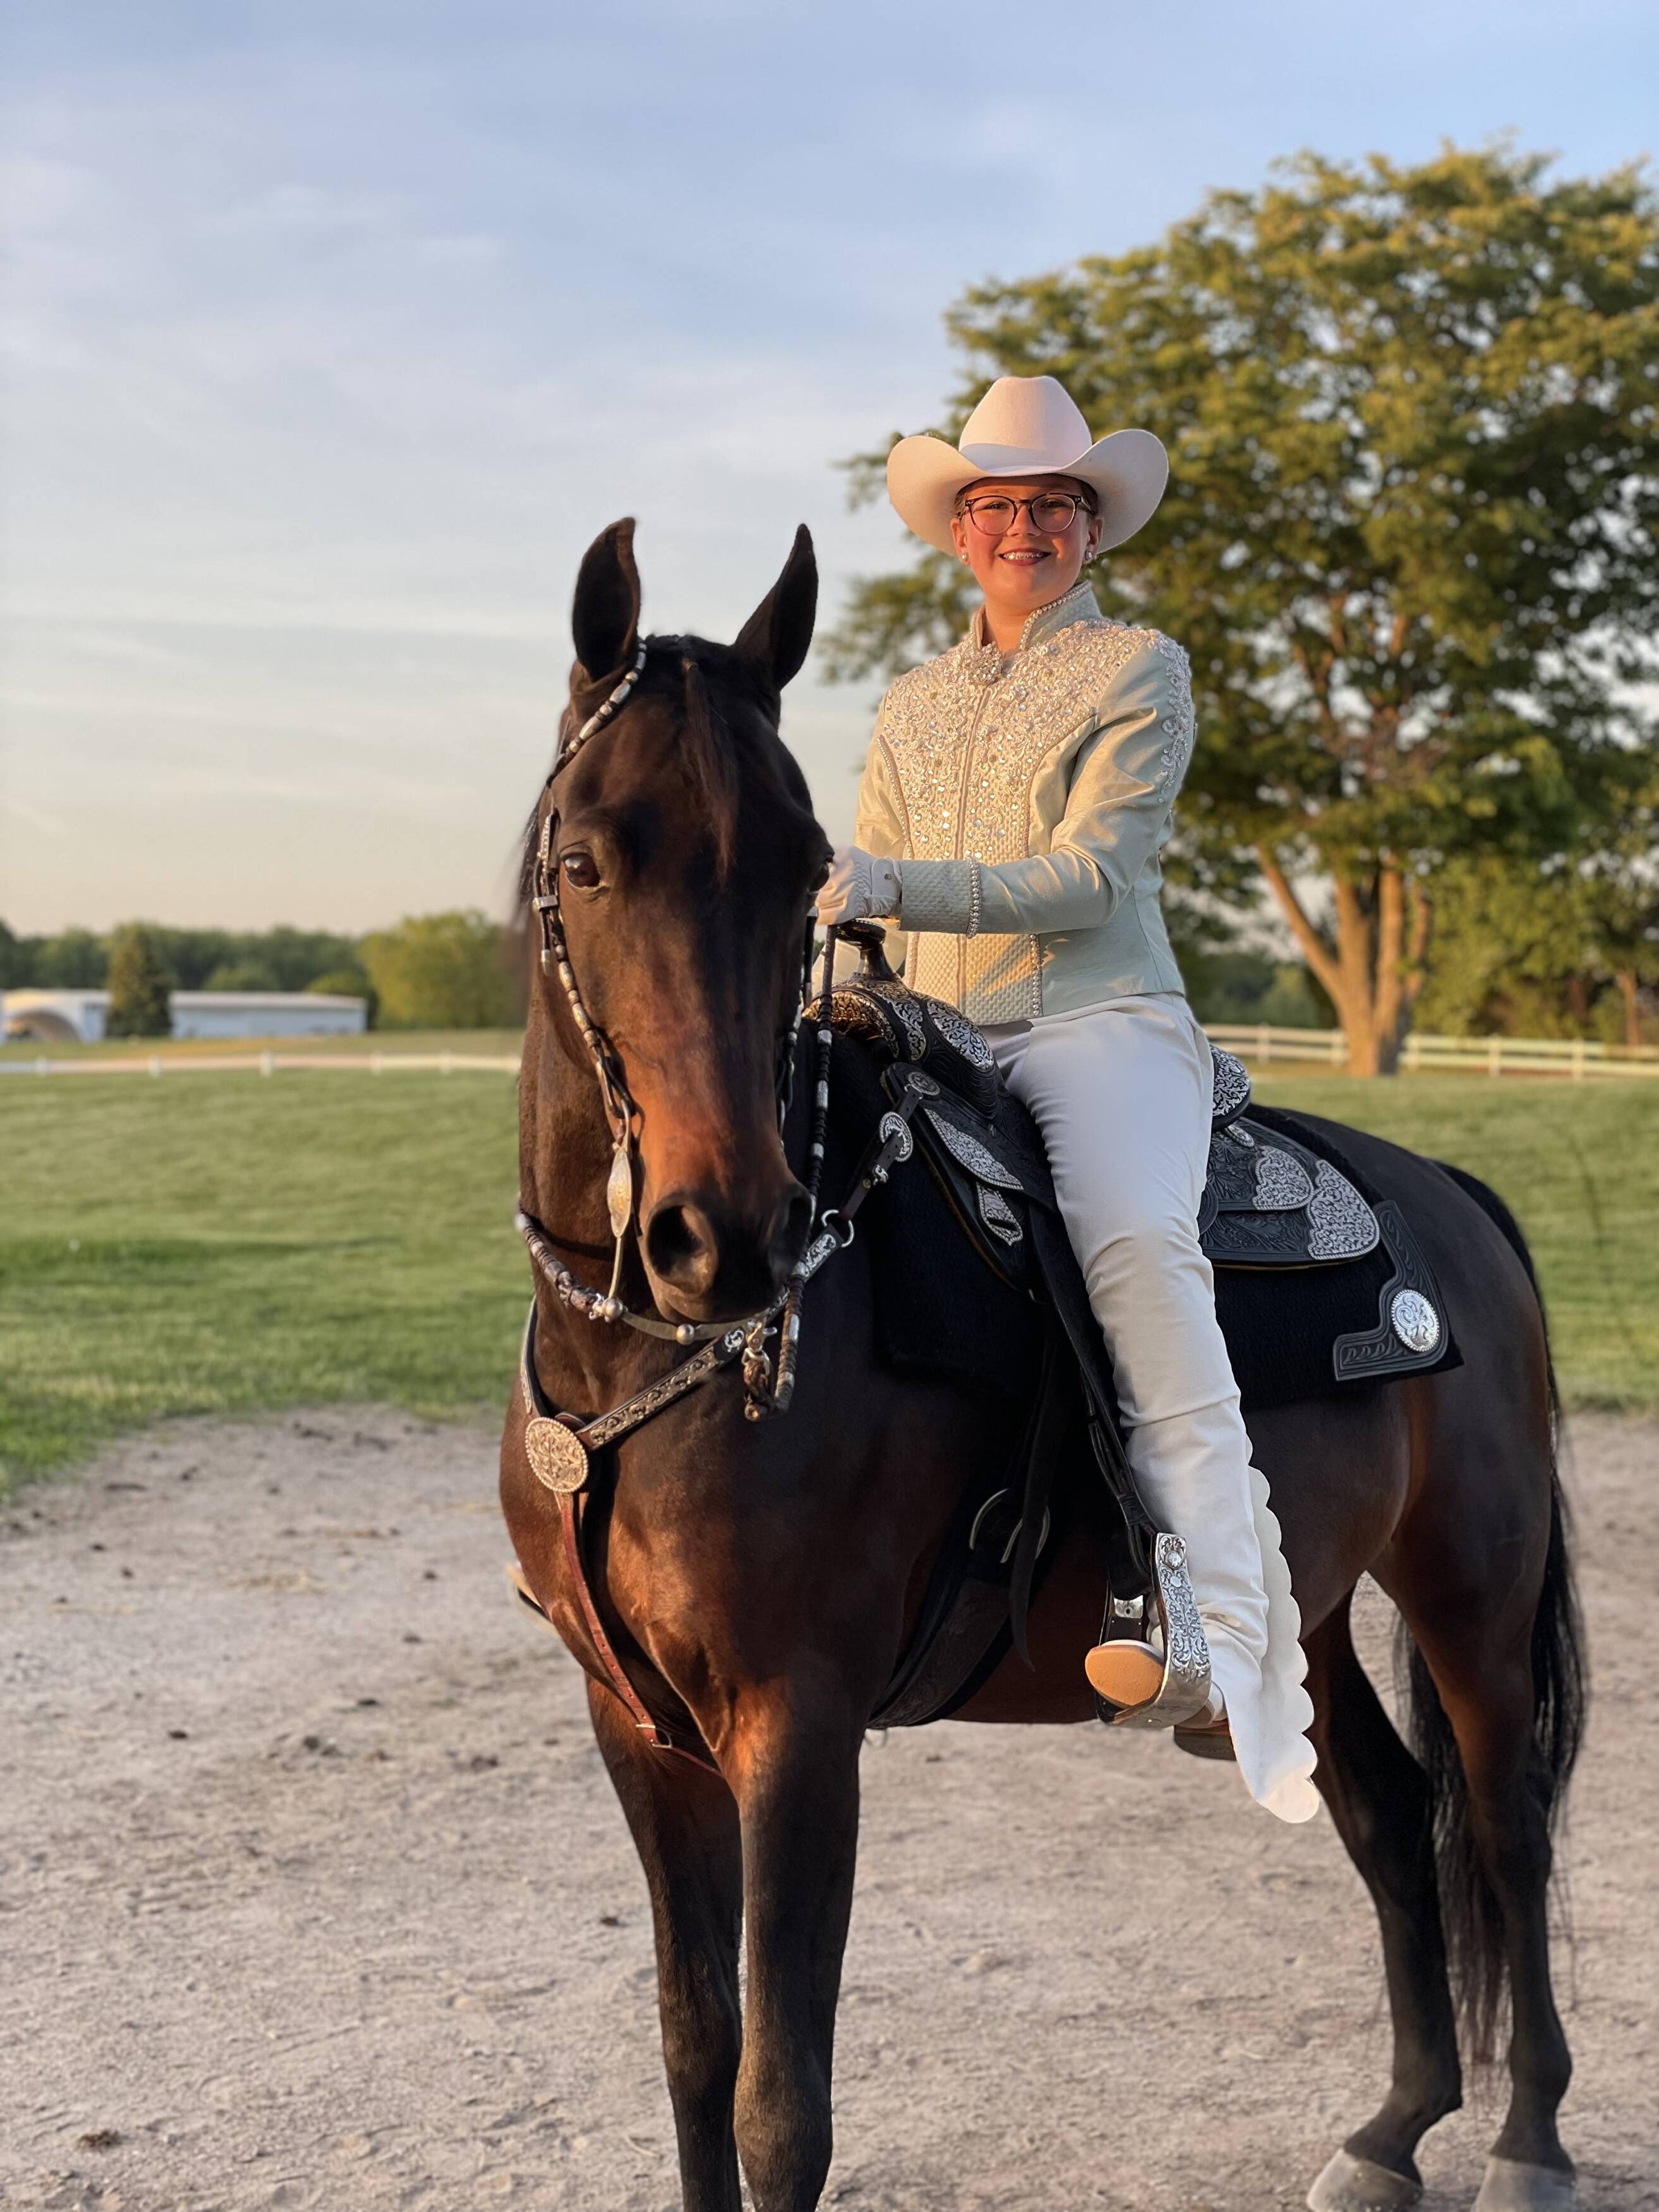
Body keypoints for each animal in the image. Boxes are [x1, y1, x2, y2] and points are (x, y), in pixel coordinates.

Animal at [499, 519, 1584, 2212]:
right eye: (585, 859)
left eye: (804, 867)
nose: (722, 1235)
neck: (650, 1371)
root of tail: (1449, 1197)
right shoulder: (638, 1729)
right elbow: (693, 2052)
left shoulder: (797, 1729)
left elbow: (779, 2102)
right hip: (1308, 1606)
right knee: (1393, 1820)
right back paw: (1392, 2131)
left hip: (1471, 1584)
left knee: (1508, 1823)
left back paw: (1529, 2138)